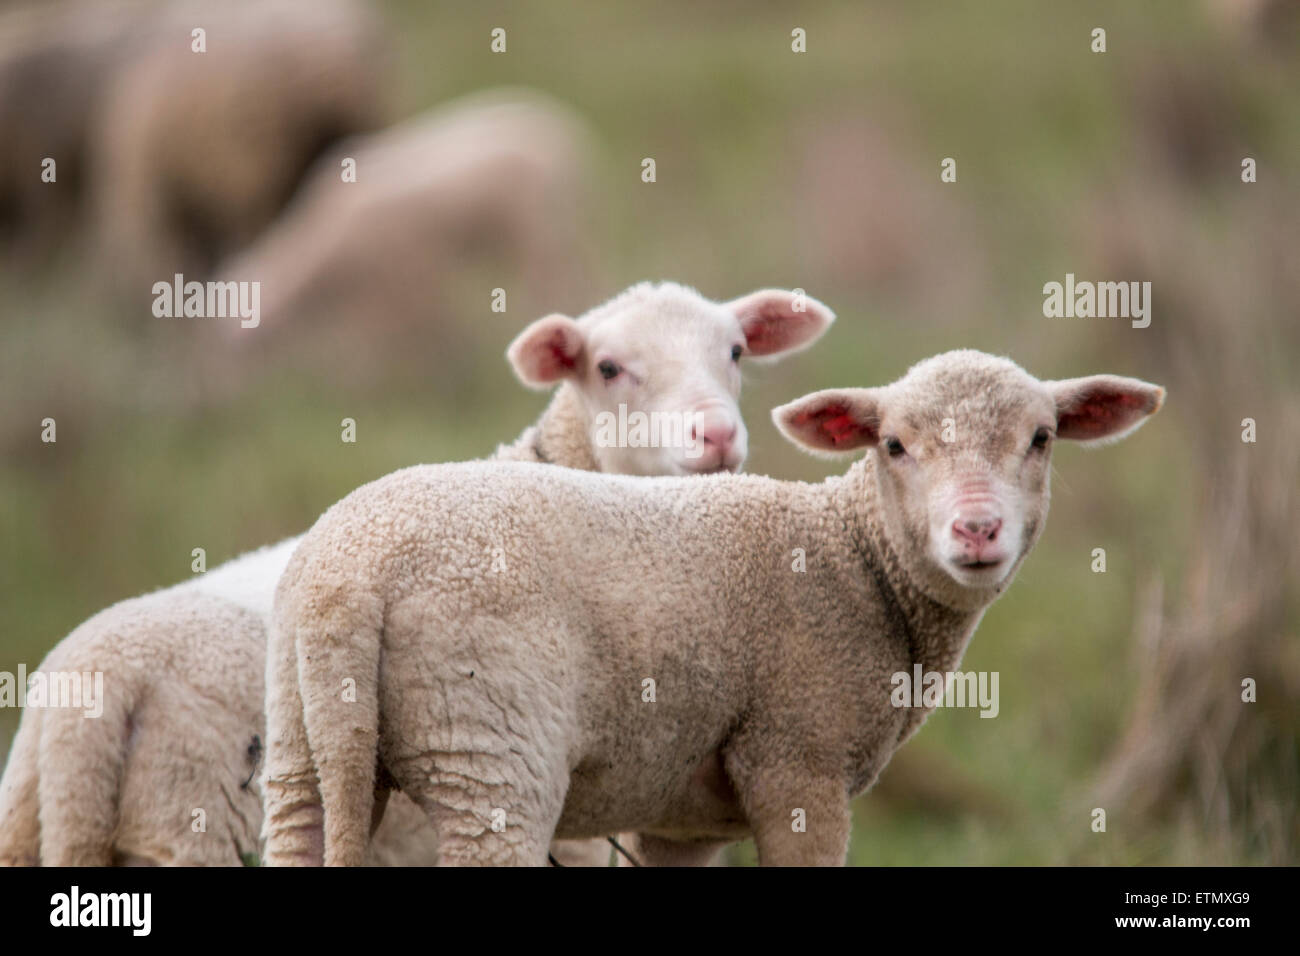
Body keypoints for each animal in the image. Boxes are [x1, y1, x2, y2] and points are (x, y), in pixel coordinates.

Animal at [262, 349, 1164, 866]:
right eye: (895, 445)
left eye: (1042, 438)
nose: (977, 530)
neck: (854, 557)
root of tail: (349, 580)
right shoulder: (795, 760)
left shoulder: (681, 821)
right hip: (487, 751)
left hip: (304, 748)